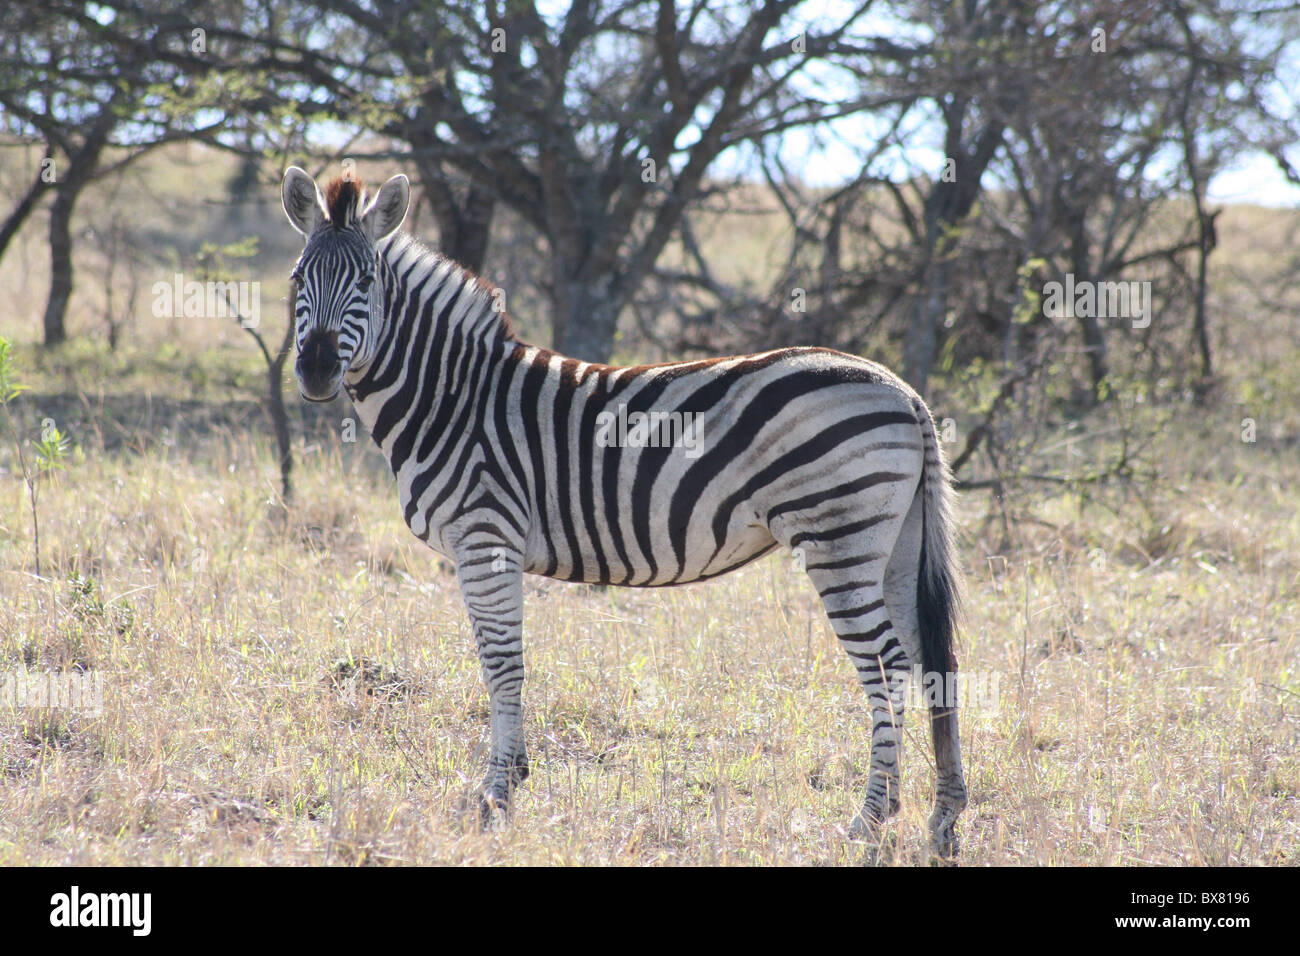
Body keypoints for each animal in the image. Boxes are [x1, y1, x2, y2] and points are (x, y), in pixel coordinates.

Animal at [280, 166, 969, 858]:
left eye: (366, 283)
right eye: (296, 281)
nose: (315, 371)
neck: (452, 397)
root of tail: (905, 392)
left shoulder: (485, 536)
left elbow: (501, 663)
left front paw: (497, 796)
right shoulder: (484, 546)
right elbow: (498, 659)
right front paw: (509, 781)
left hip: (838, 537)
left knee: (888, 666)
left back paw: (870, 822)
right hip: (893, 545)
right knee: (932, 664)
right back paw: (943, 821)